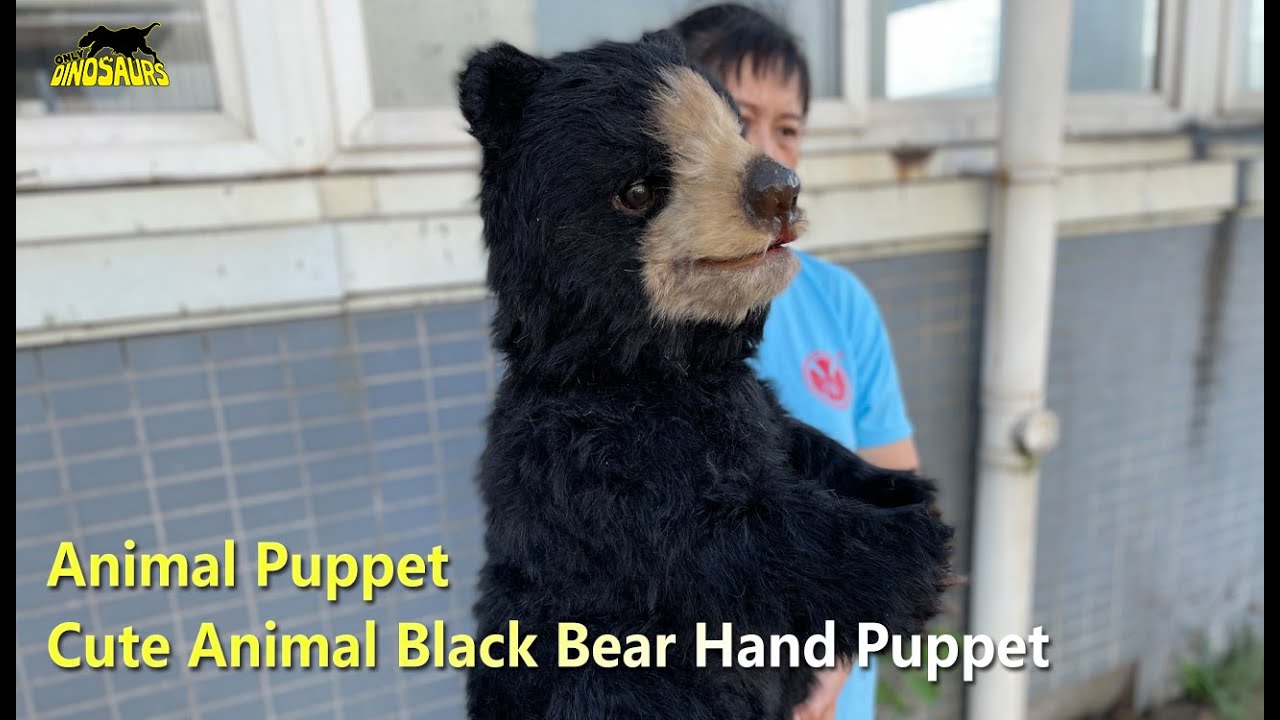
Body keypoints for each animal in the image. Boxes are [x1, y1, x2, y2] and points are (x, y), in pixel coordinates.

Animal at [457, 30, 954, 720]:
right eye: (638, 190)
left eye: (734, 129)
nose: (781, 190)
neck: (664, 363)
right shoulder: (586, 458)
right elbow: (733, 544)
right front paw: (914, 550)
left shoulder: (743, 398)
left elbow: (798, 441)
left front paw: (901, 487)